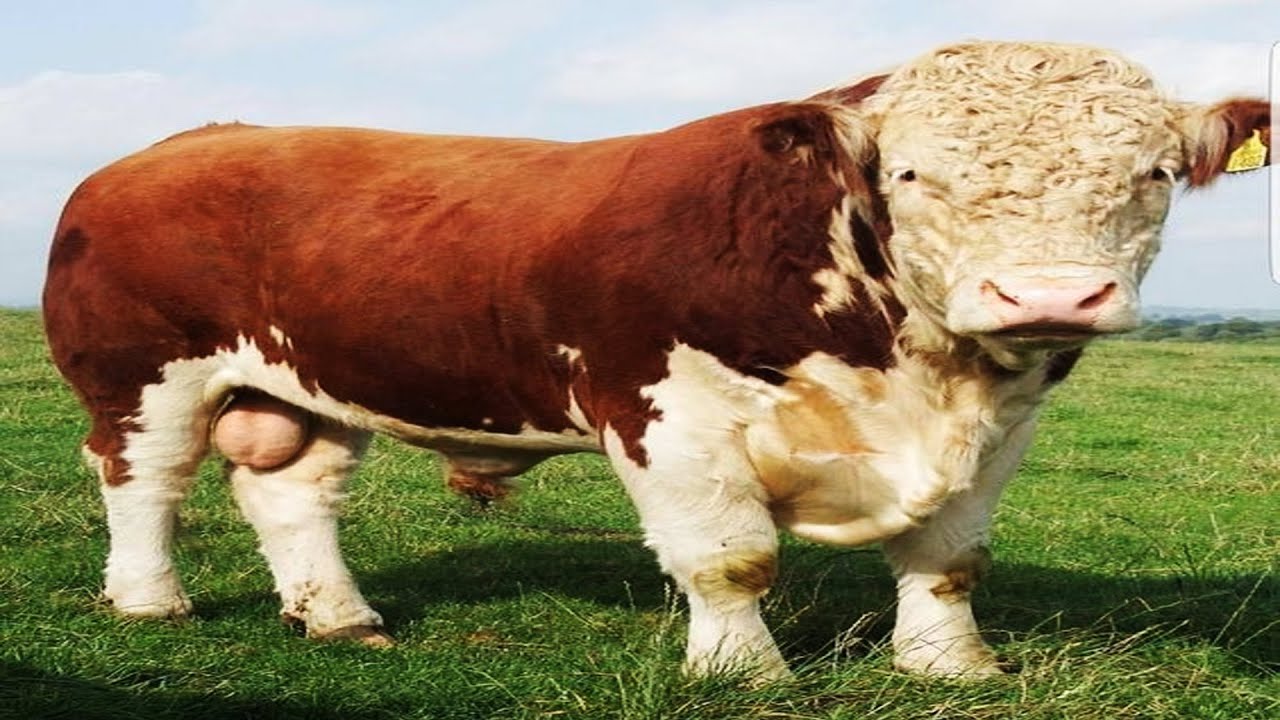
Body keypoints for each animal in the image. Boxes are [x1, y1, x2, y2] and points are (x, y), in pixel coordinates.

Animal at [42, 41, 1269, 681]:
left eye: (1157, 173)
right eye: (913, 173)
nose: (1052, 297)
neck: (920, 376)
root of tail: (183, 141)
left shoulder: (1000, 429)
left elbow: (949, 557)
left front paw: (948, 668)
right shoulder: (668, 413)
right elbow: (729, 560)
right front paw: (743, 674)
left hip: (310, 385)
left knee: (293, 493)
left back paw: (338, 615)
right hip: (140, 376)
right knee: (144, 484)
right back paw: (148, 603)